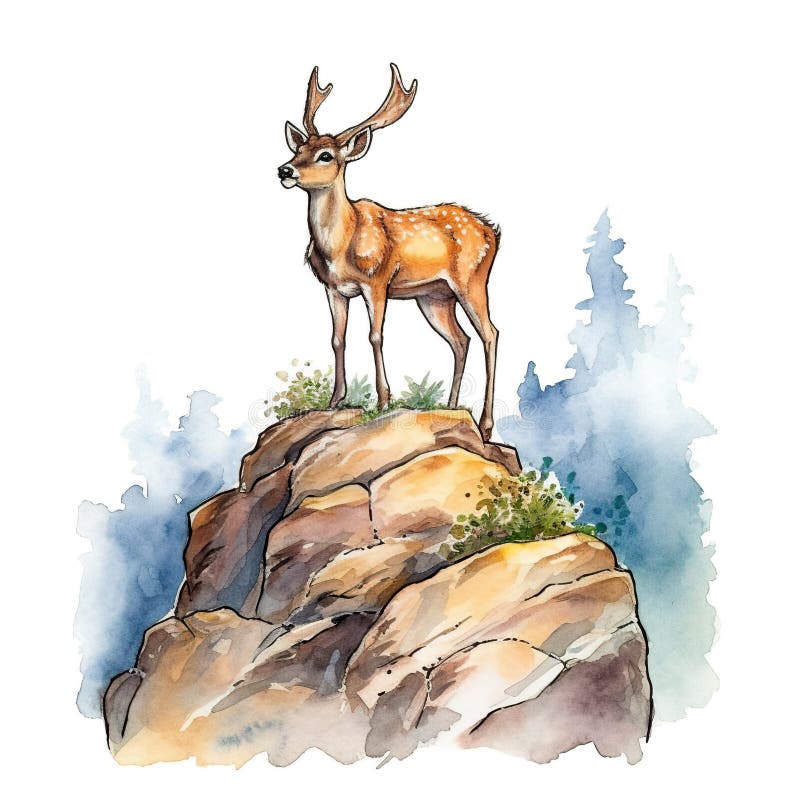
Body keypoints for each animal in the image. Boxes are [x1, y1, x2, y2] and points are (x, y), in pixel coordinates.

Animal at [277, 64, 500, 439]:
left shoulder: (377, 280)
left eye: (326, 155)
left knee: (490, 334)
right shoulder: (333, 288)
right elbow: (337, 339)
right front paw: (335, 400)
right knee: (461, 340)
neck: (340, 247)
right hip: (434, 297)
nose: (285, 170)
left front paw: (383, 401)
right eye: (300, 148)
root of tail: (493, 232)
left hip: (472, 280)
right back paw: (453, 405)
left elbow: (375, 336)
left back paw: (484, 425)